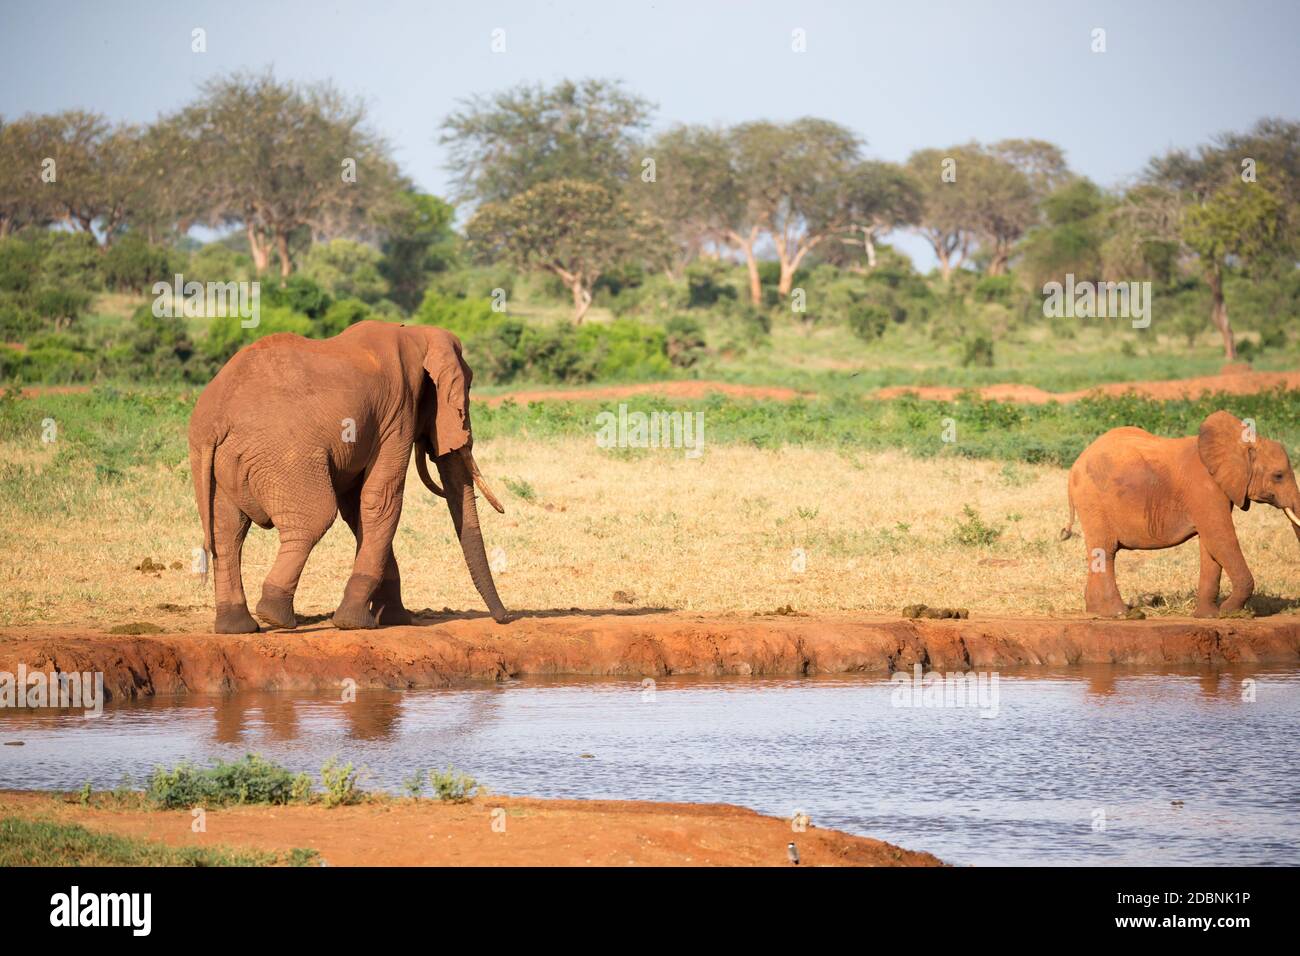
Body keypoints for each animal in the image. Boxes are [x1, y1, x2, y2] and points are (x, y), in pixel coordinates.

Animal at [187, 320, 510, 634]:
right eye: (466, 392)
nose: (505, 618)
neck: (416, 333)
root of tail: (215, 420)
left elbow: (358, 509)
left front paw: (393, 619)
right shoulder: (399, 413)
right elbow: (381, 500)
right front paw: (355, 623)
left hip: (211, 462)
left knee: (227, 534)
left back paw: (237, 627)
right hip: (282, 455)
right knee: (313, 518)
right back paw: (275, 616)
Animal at [1061, 410, 1300, 618]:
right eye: (1278, 475)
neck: (1242, 441)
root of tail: (1074, 467)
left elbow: (1211, 546)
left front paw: (1208, 616)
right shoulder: (1205, 488)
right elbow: (1220, 538)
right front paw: (1230, 613)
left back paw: (1097, 611)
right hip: (1093, 501)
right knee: (1106, 550)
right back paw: (1122, 615)